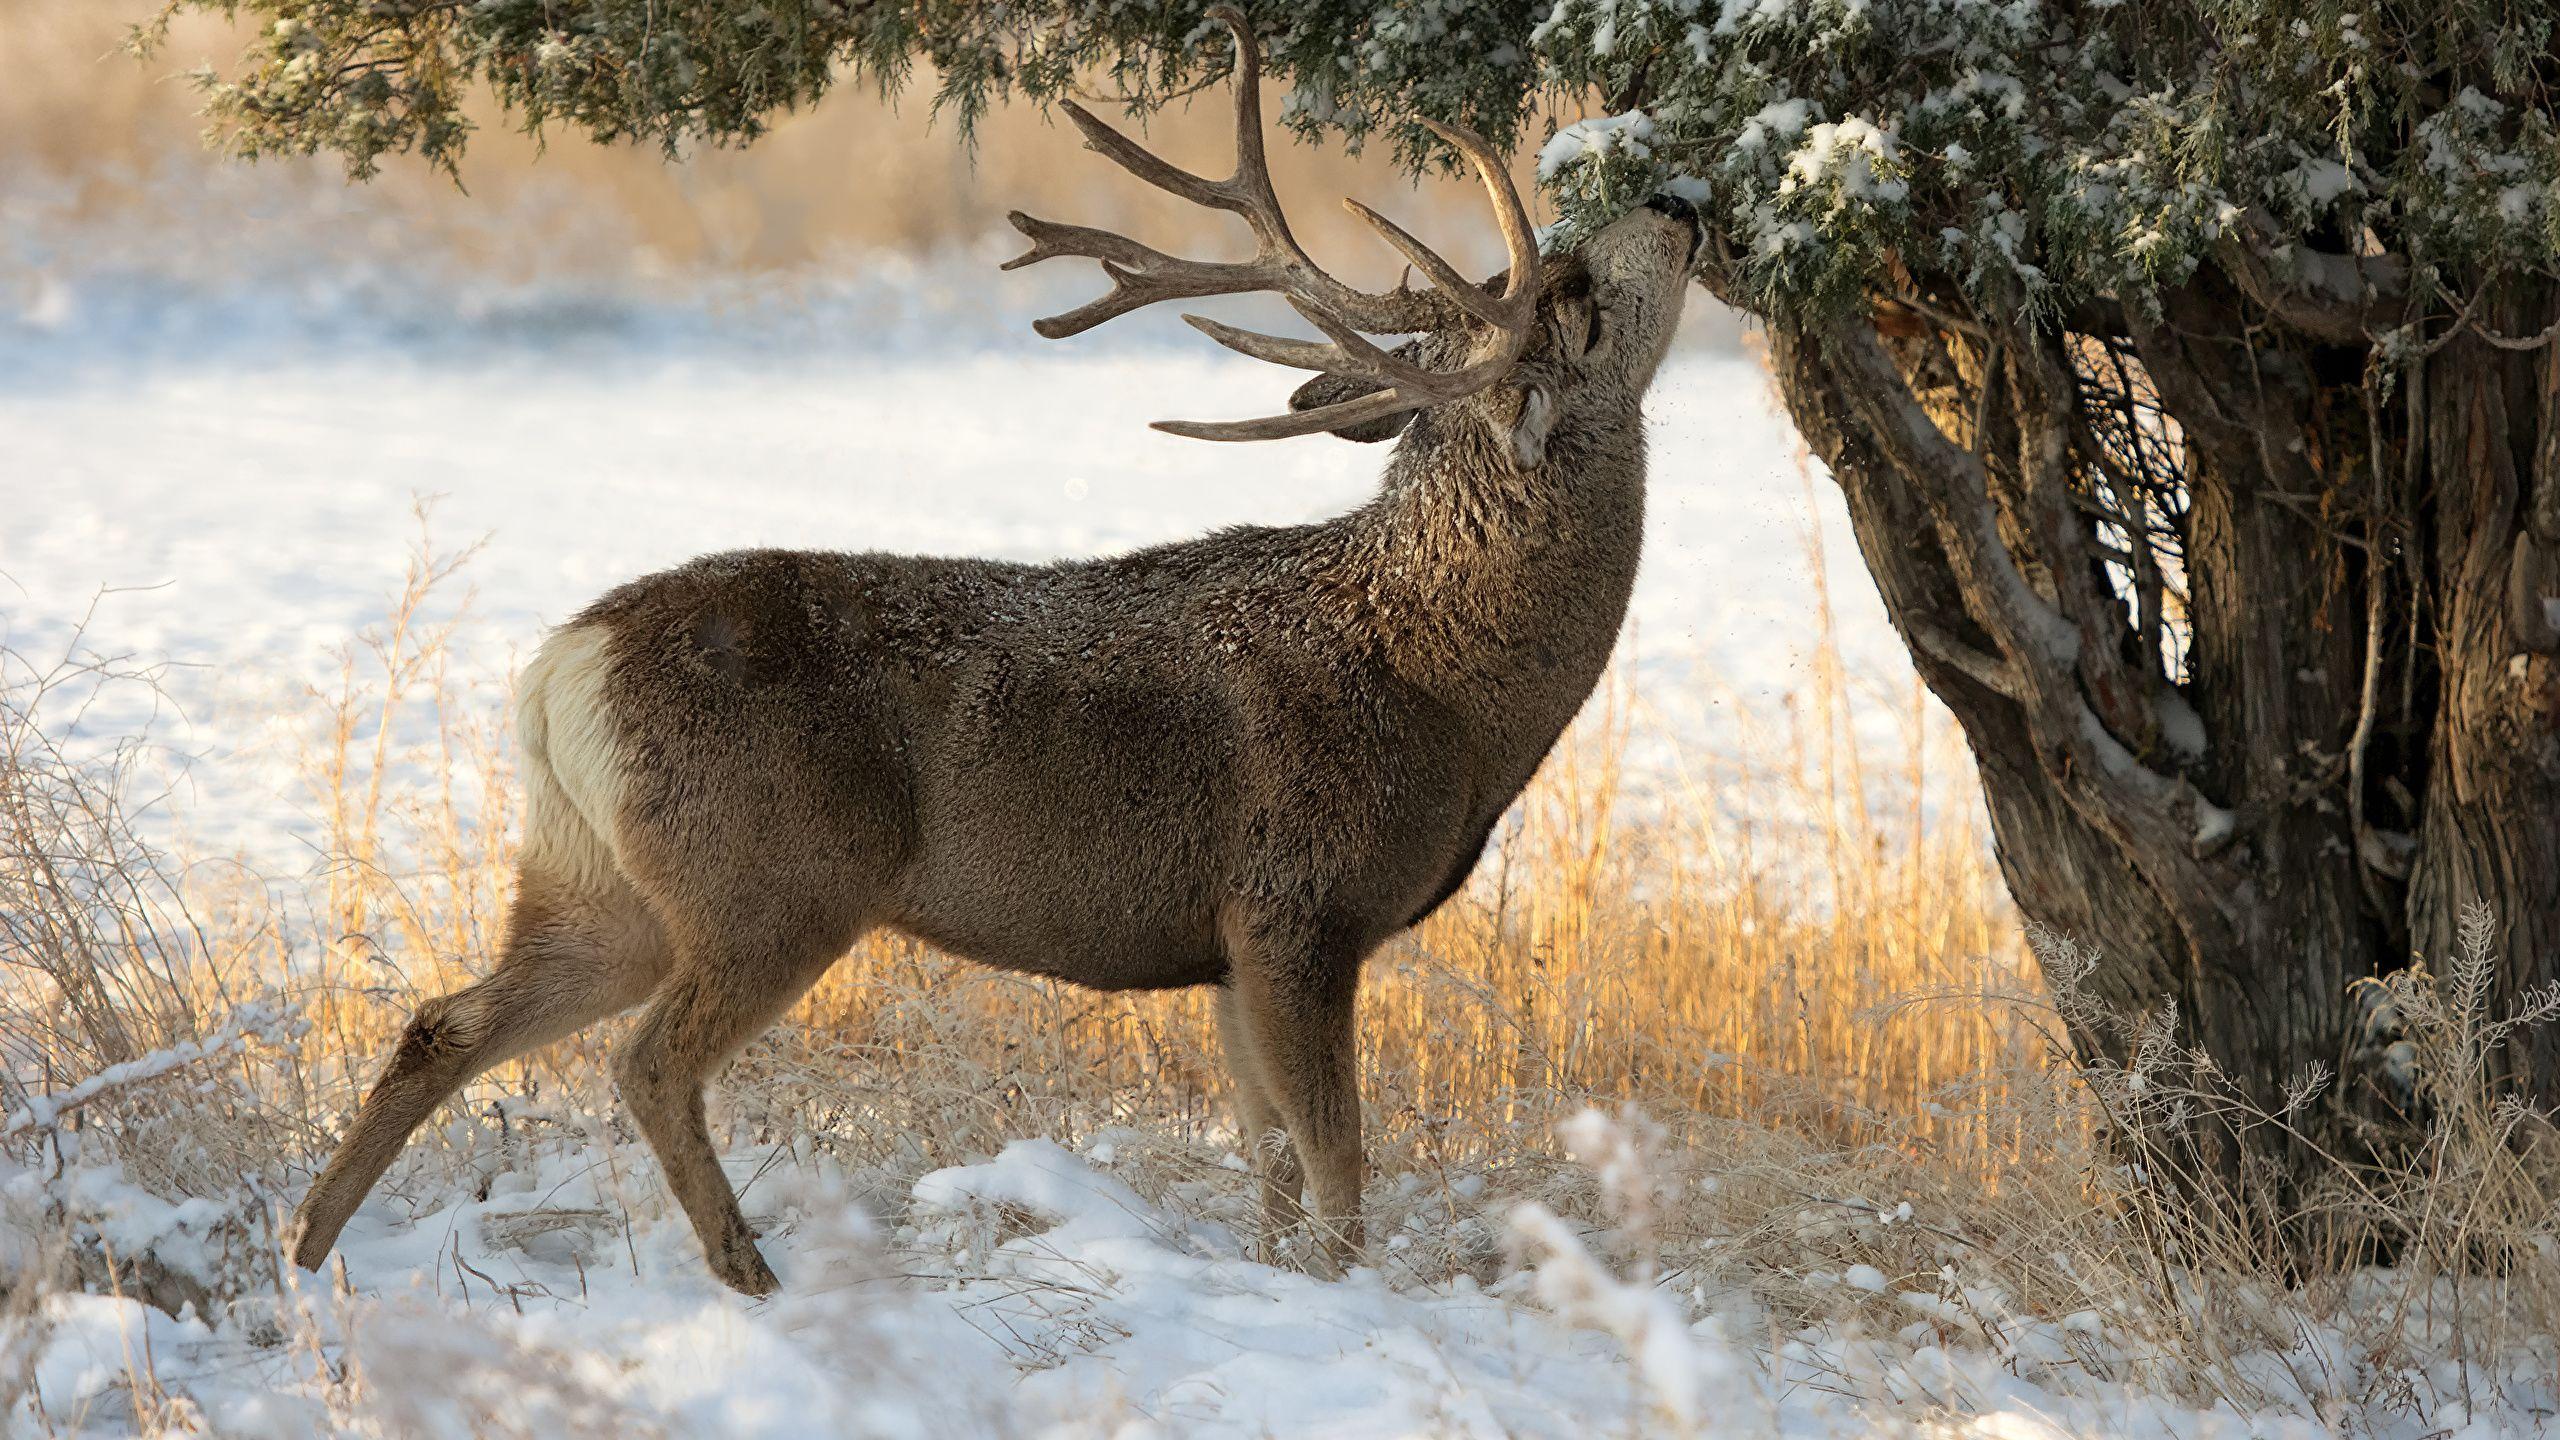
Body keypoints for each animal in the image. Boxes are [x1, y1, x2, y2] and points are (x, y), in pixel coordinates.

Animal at [286, 7, 1702, 1295]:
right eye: (1571, 296)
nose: (1677, 195)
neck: (1446, 684)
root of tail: (561, 668)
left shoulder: (1227, 944)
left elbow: (1273, 1170)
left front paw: (1277, 1283)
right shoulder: (1298, 902)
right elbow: (1339, 1164)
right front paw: (1351, 1305)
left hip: (598, 880)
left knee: (446, 1021)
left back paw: (308, 1256)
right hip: (774, 877)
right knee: (644, 1058)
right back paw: (749, 1275)